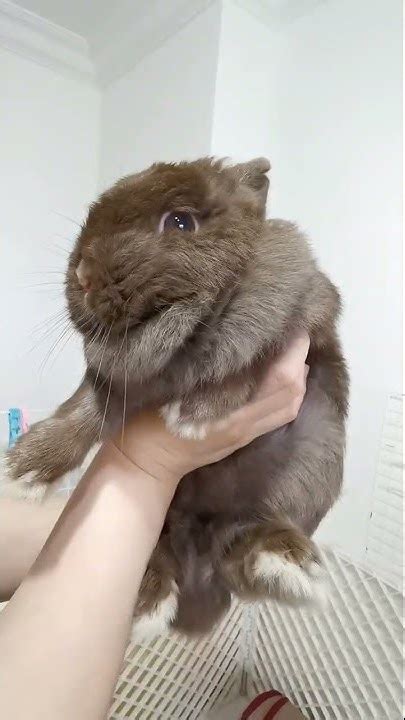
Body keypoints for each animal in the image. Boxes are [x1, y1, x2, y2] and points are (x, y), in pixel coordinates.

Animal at [6, 157, 349, 639]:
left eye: (180, 222)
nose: (83, 276)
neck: (178, 340)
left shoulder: (298, 317)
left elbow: (248, 359)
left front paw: (194, 413)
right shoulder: (112, 384)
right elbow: (83, 410)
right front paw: (26, 469)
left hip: (306, 472)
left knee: (237, 548)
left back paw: (281, 563)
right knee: (168, 549)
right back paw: (149, 603)